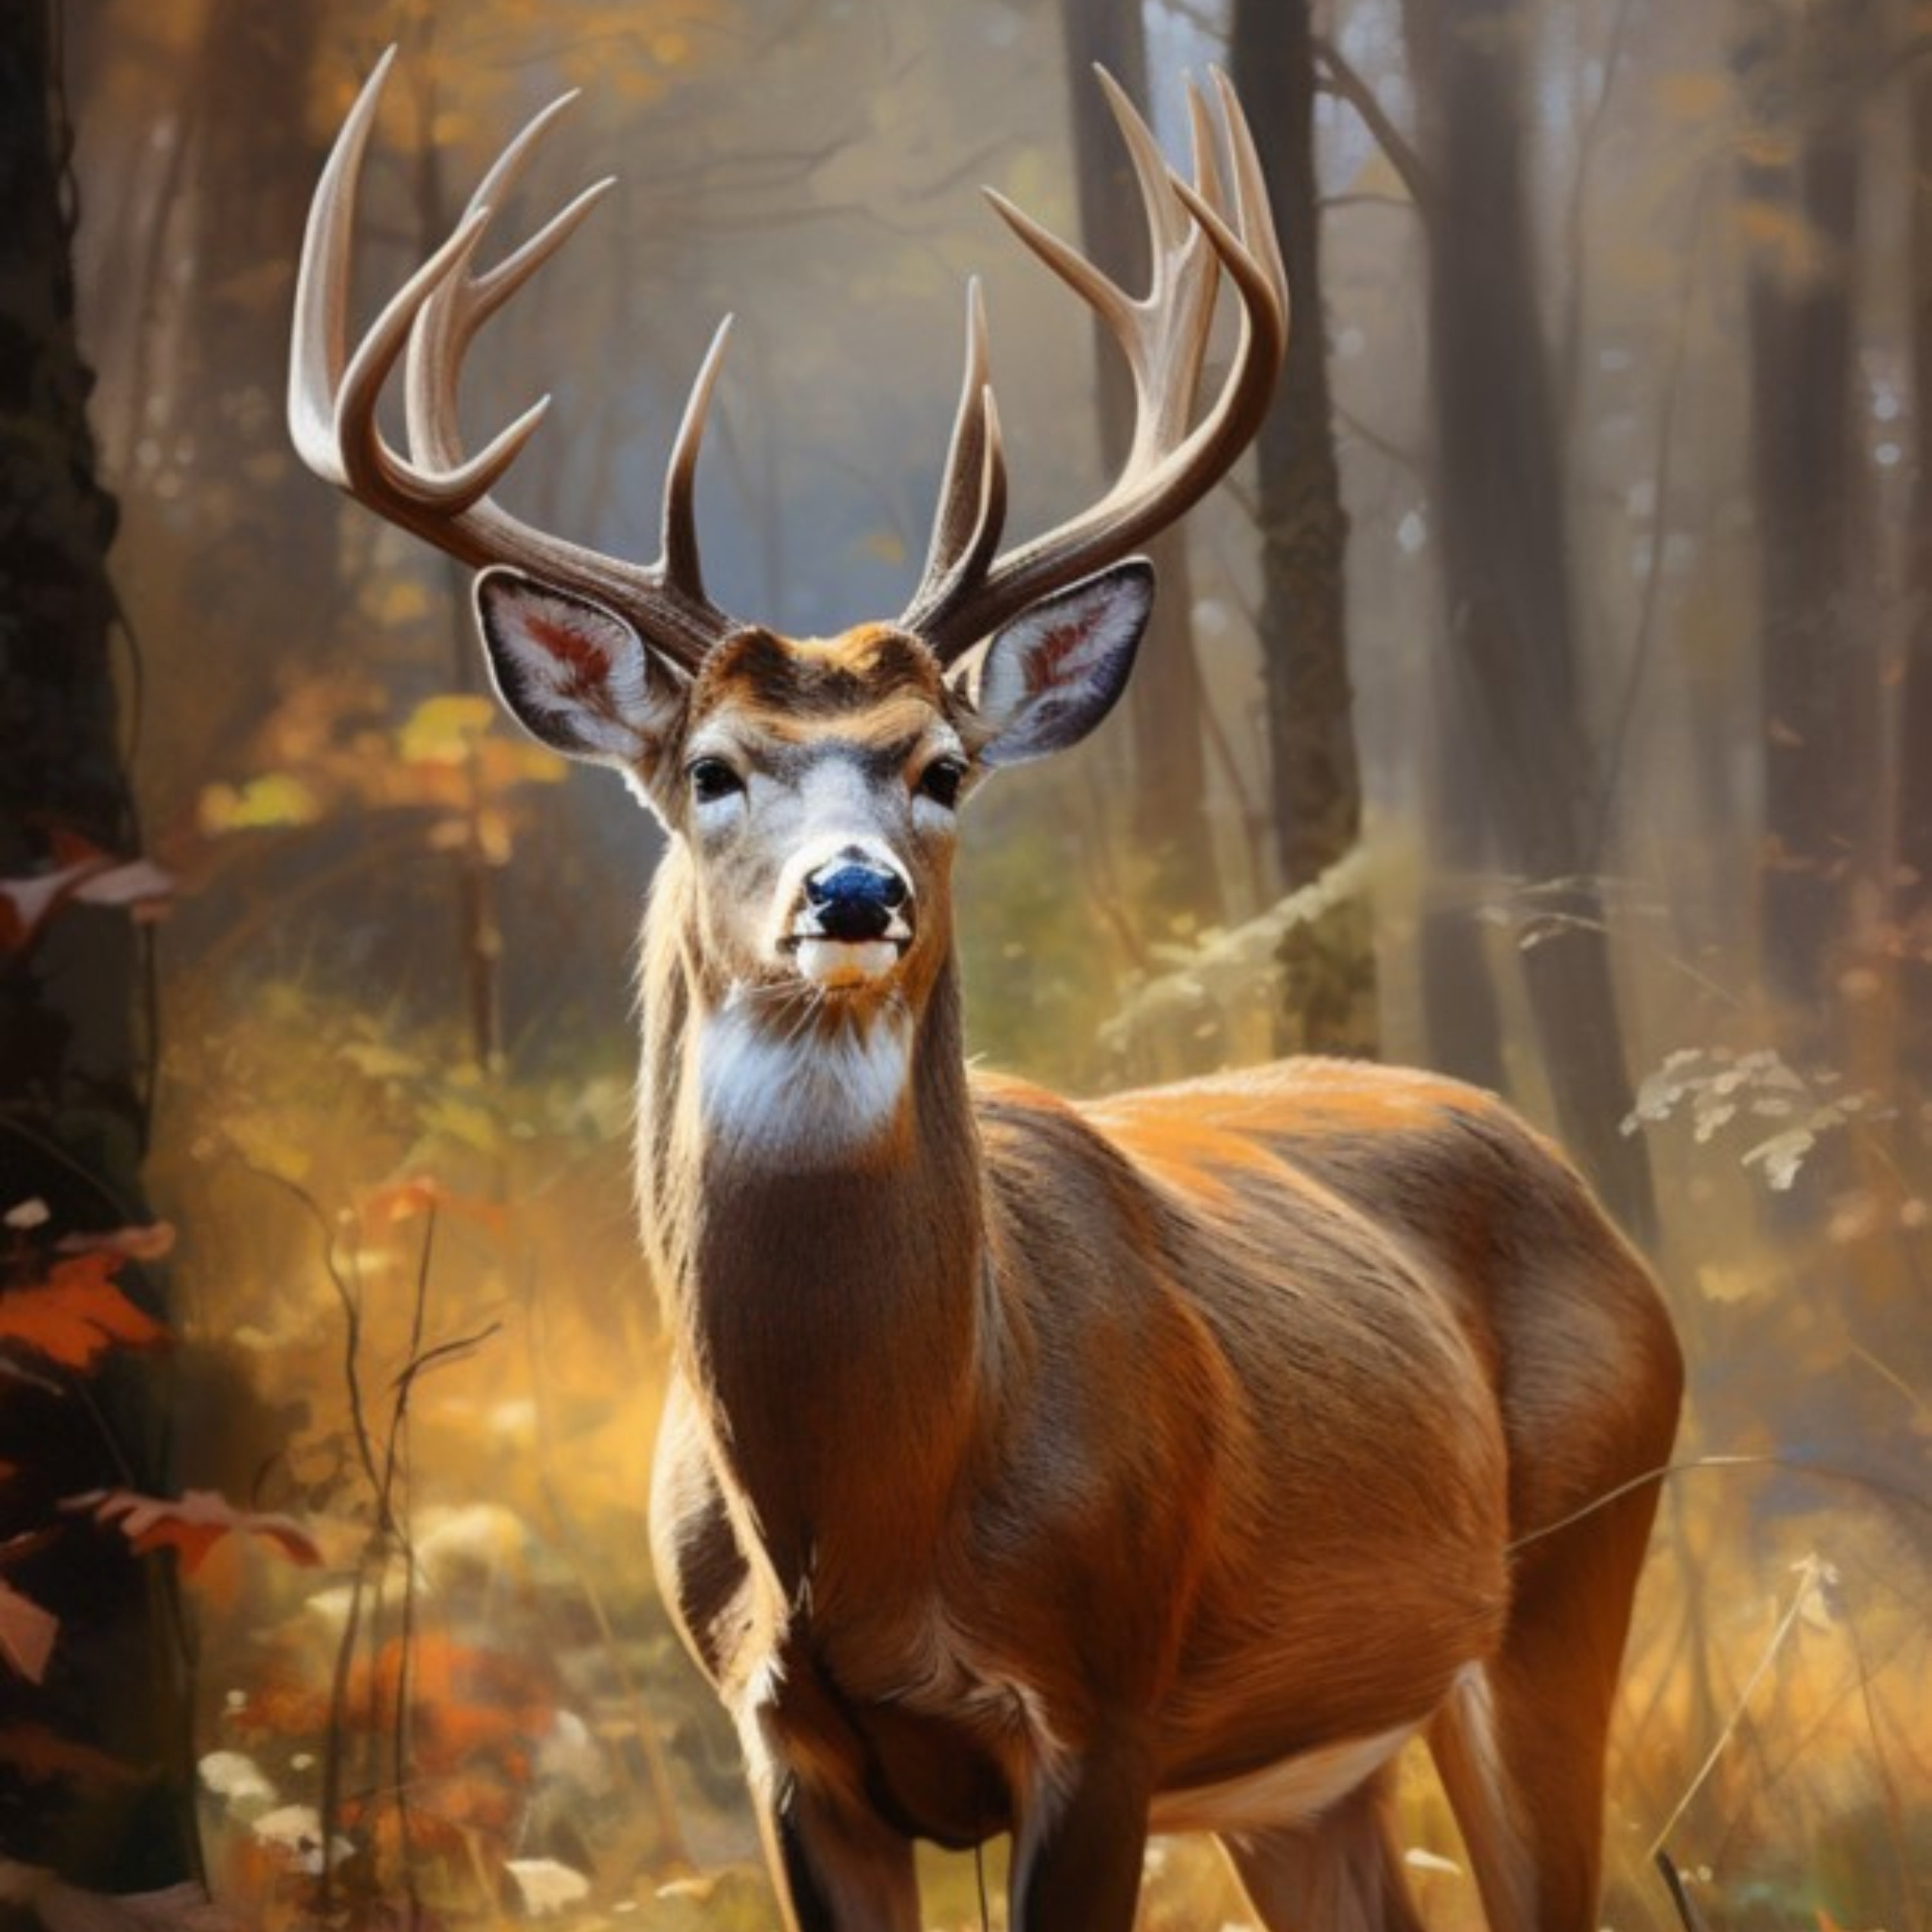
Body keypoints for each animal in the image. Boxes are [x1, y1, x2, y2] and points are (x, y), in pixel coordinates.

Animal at [290, 50, 1683, 1932]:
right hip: (1309, 1773)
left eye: (939, 767)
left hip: (1566, 1588)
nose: (852, 892)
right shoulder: (784, 1749)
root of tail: (1586, 1201)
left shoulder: (1101, 1709)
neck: (862, 1516)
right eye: (713, 769)